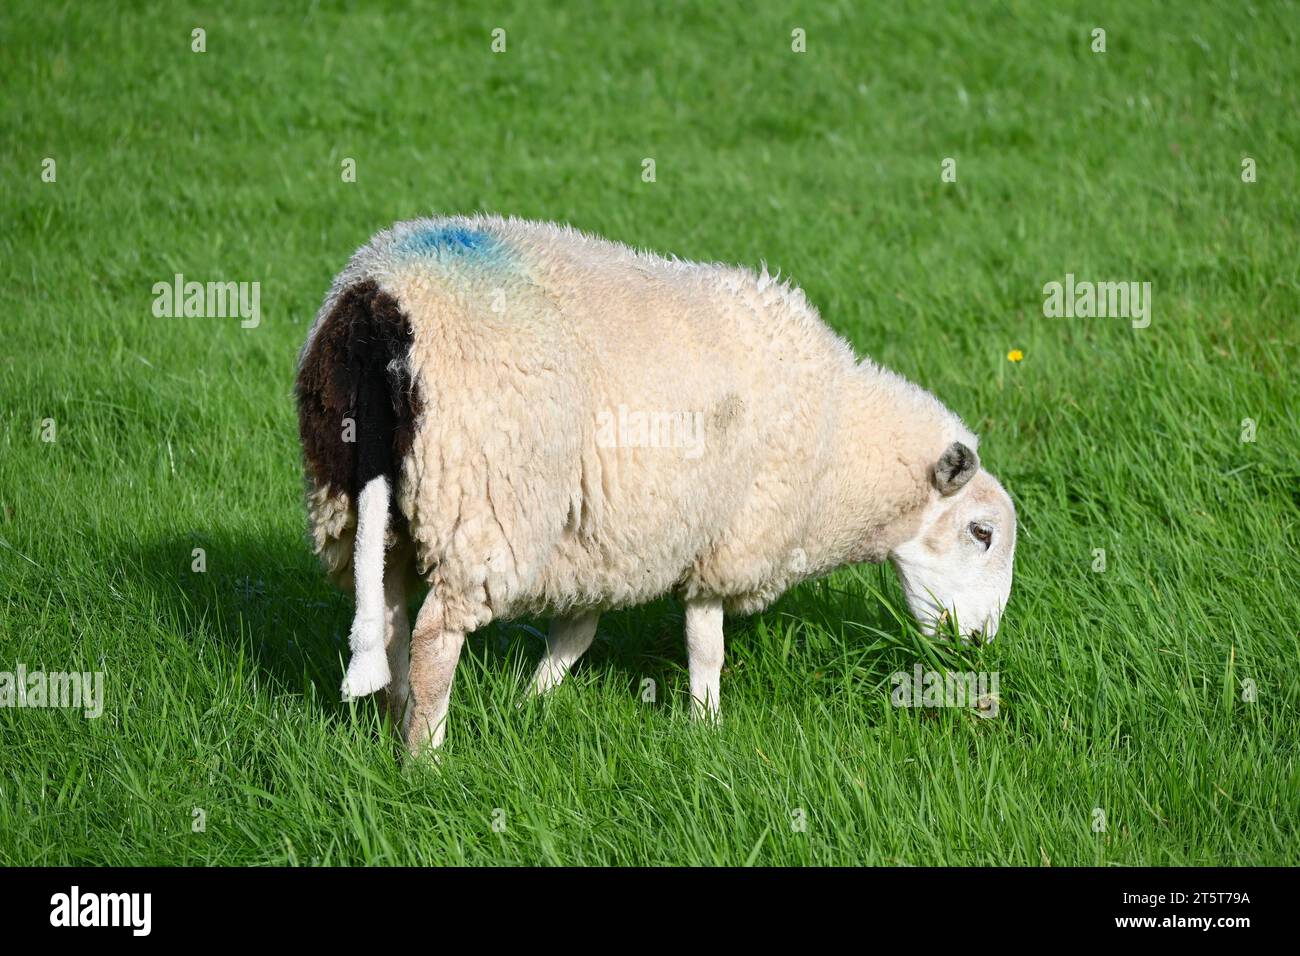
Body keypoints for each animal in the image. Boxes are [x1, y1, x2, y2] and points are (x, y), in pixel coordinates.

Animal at [295, 215, 1017, 755]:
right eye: (981, 533)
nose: (977, 644)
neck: (840, 442)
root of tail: (377, 305)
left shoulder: (596, 541)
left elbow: (576, 635)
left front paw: (533, 700)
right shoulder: (723, 539)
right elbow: (707, 648)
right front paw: (706, 726)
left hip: (359, 503)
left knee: (389, 618)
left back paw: (393, 727)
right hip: (483, 500)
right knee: (433, 639)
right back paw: (427, 759)